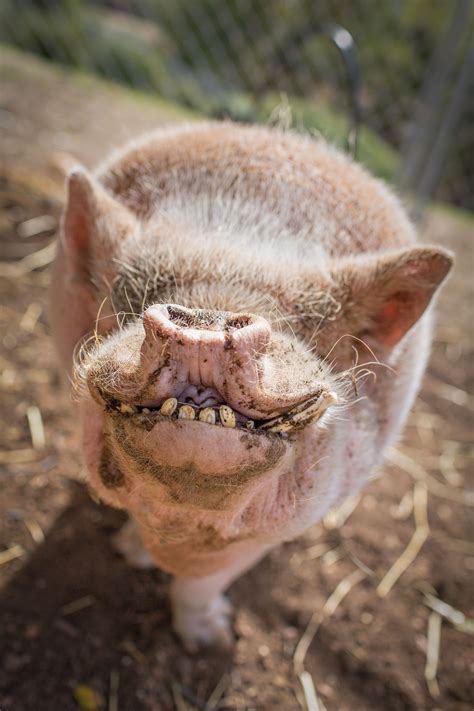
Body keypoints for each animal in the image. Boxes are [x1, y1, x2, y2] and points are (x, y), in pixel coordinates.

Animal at [49, 122, 452, 651]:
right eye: (133, 302)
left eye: (301, 326)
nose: (206, 318)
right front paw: (134, 556)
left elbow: (207, 582)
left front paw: (215, 640)